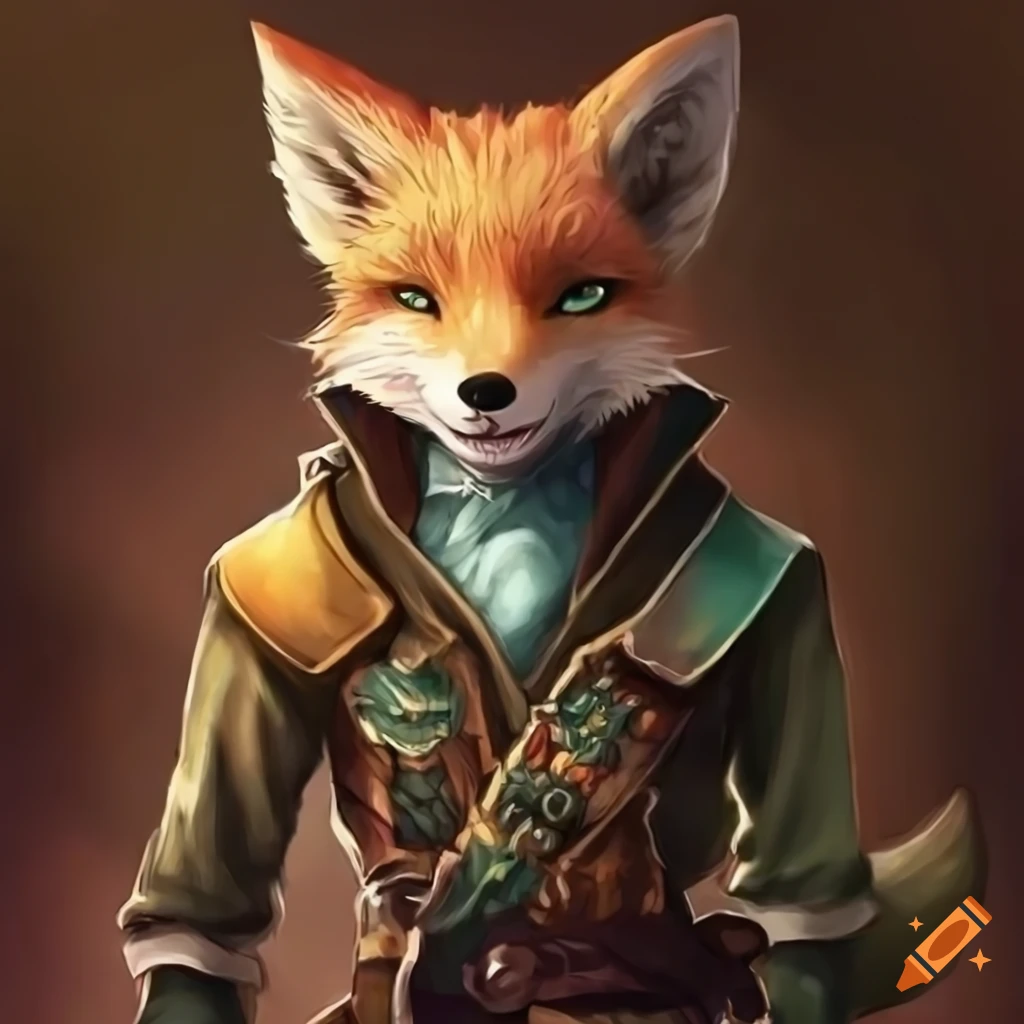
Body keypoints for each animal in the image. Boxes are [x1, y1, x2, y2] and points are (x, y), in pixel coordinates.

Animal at [118, 14, 985, 1024]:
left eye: (580, 297)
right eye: (415, 298)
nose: (485, 392)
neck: (506, 503)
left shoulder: (789, 579)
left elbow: (803, 907)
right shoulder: (256, 585)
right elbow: (201, 916)